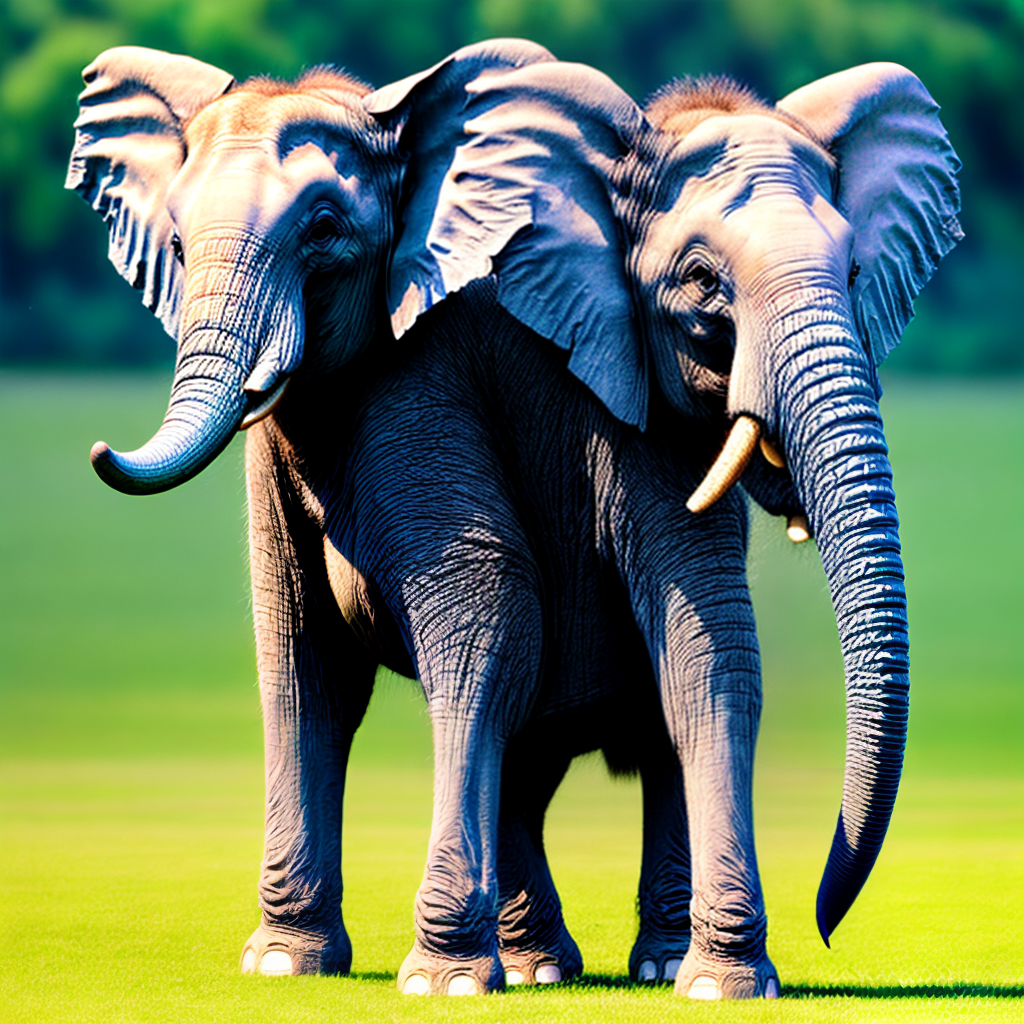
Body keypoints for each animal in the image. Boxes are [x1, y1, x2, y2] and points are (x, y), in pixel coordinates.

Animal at [65, 37, 961, 1000]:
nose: (829, 926)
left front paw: (715, 985)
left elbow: (693, 641)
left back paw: (647, 964)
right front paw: (294, 966)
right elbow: (324, 659)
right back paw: (538, 968)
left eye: (323, 231)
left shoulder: (588, 391)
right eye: (702, 283)